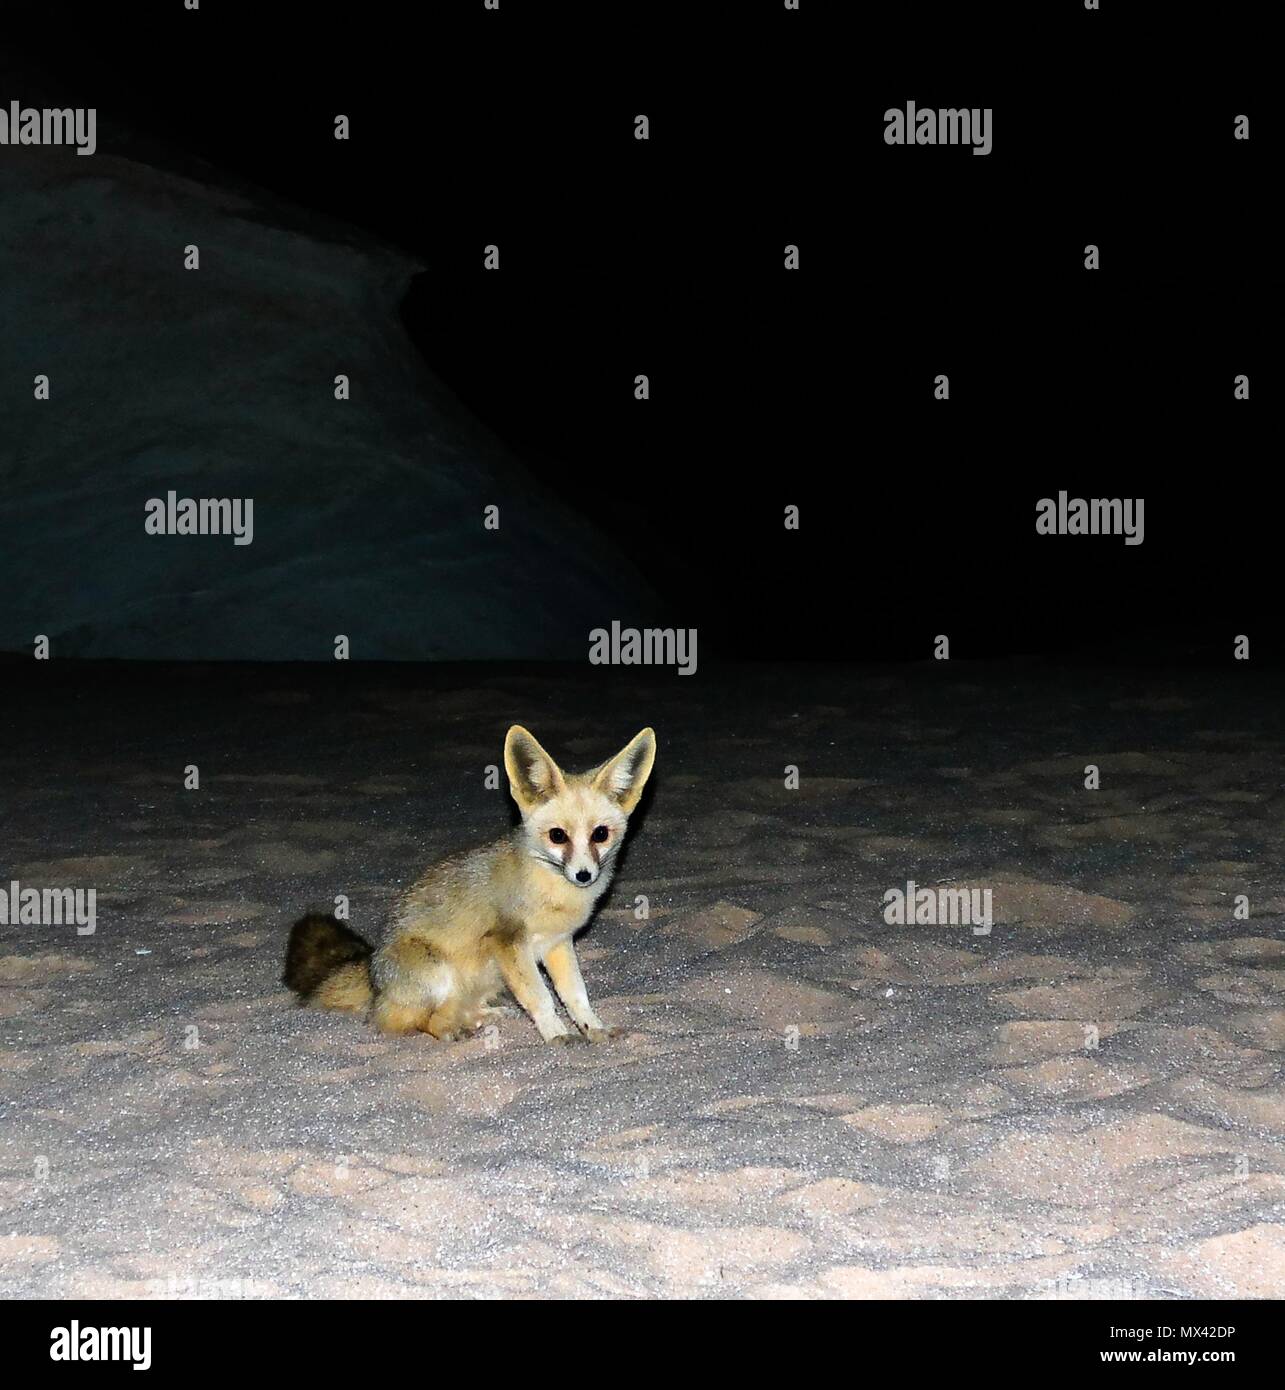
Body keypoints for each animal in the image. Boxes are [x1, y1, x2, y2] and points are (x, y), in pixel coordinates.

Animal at [283, 724, 656, 1044]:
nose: (583, 875)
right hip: (439, 972)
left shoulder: (557, 944)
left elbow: (576, 996)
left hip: (486, 978)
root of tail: (374, 973)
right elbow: (541, 998)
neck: (549, 893)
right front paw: (556, 1034)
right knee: (401, 1020)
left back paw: (478, 1016)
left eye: (600, 834)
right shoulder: (509, 943)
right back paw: (449, 1030)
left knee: (451, 1009)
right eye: (558, 836)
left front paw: (593, 1027)